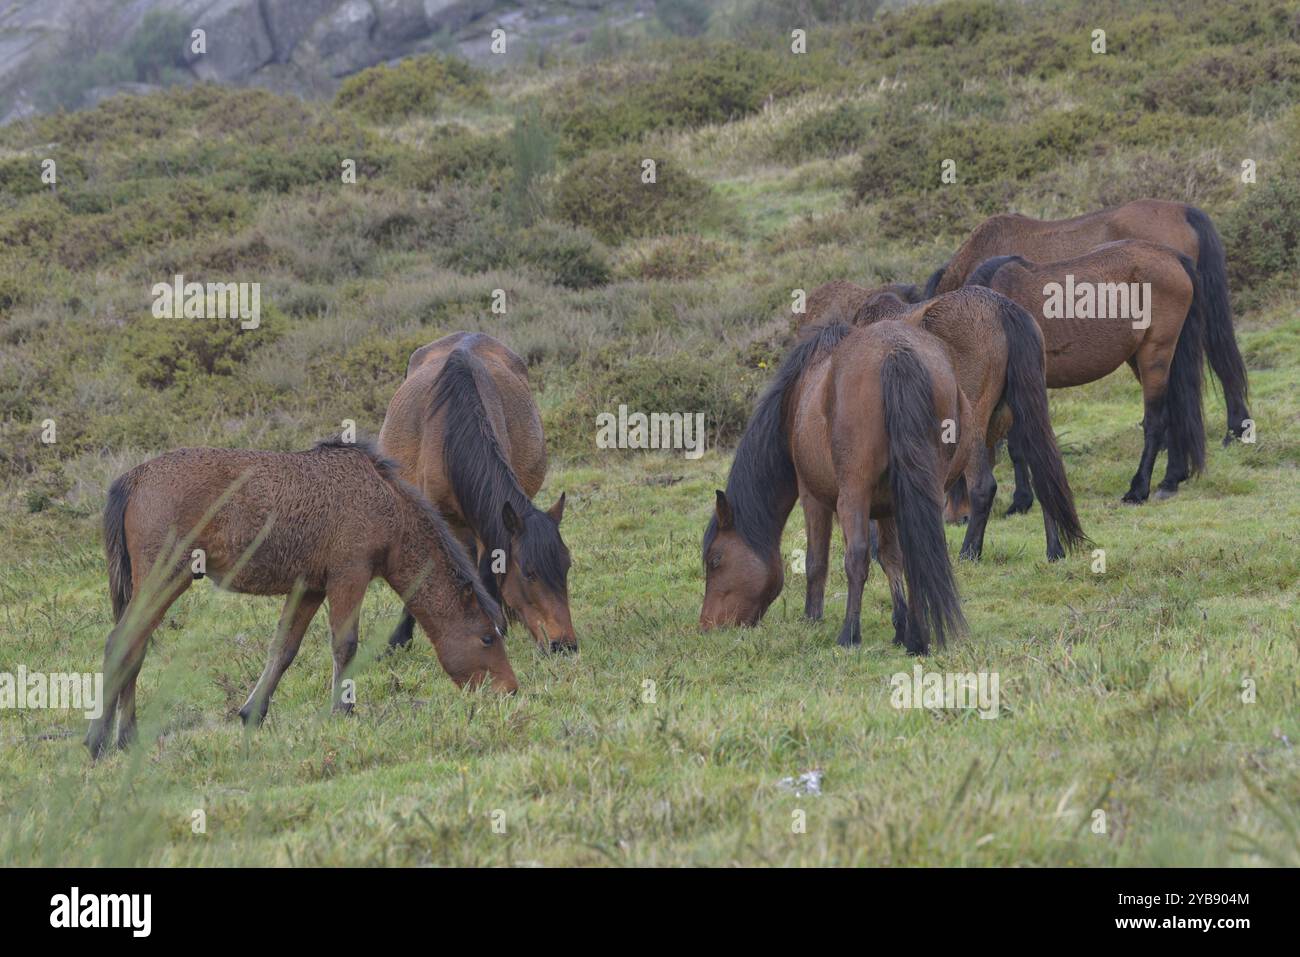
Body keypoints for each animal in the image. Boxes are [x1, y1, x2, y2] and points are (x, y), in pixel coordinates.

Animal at [86, 438, 515, 760]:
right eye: (487, 638)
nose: (510, 690)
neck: (385, 502)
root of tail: (134, 478)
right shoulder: (349, 576)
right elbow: (344, 645)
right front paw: (343, 710)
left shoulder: (308, 588)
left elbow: (284, 650)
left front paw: (253, 712)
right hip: (165, 579)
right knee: (121, 644)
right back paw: (98, 741)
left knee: (135, 648)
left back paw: (126, 737)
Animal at [378, 332, 576, 654]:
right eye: (529, 573)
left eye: (567, 566)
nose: (565, 645)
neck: (450, 434)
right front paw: (400, 638)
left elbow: (485, 569)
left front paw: (496, 626)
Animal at [700, 319, 974, 654]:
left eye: (715, 560)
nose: (706, 626)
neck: (796, 399)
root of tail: (896, 351)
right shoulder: (889, 505)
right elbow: (892, 558)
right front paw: (900, 627)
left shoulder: (812, 497)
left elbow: (816, 561)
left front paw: (811, 618)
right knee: (918, 553)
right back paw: (917, 639)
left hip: (852, 496)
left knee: (856, 557)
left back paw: (849, 635)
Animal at [964, 239, 1207, 506]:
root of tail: (1171, 256)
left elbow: (1018, 445)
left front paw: (1021, 500)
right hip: (1140, 358)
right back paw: (1171, 480)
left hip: (1155, 354)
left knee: (1155, 422)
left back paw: (1138, 489)